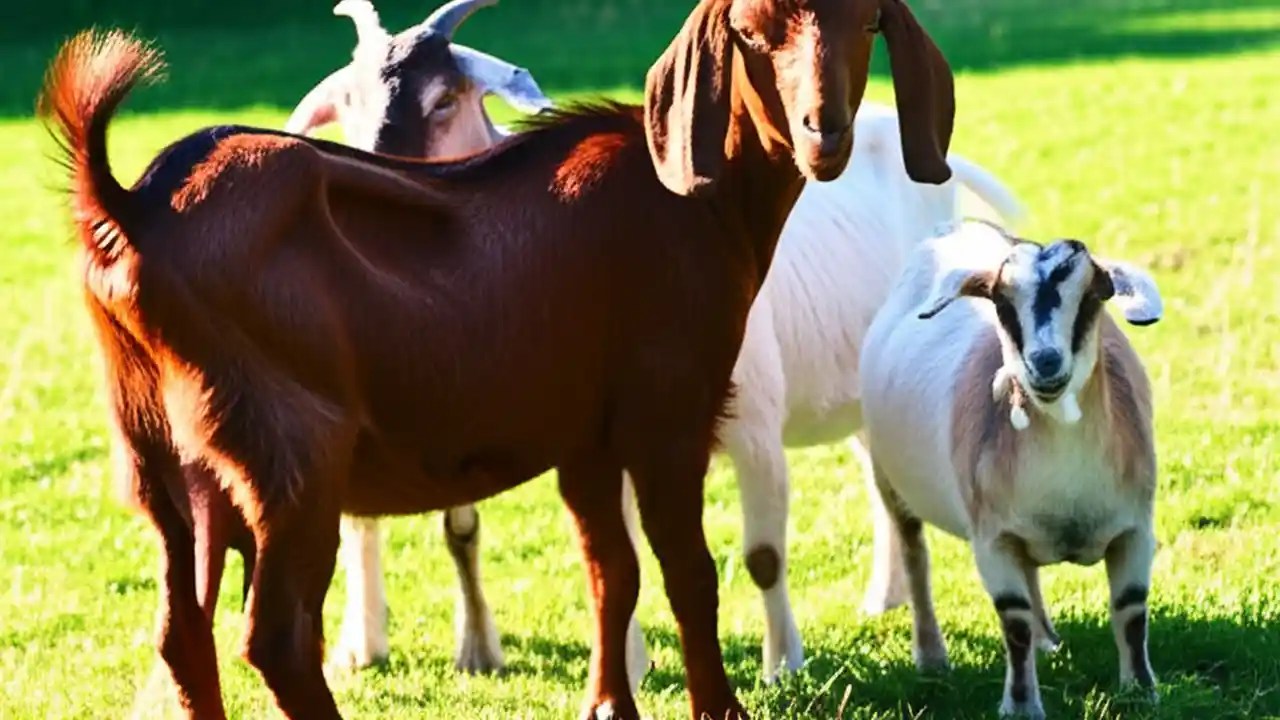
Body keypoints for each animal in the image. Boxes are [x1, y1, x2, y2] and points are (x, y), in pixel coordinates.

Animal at [39, 0, 954, 716]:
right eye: (750, 31)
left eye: (868, 21)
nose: (824, 133)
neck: (695, 202)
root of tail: (128, 207)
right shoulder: (667, 414)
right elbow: (688, 572)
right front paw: (718, 709)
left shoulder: (588, 440)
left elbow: (611, 570)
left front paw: (606, 704)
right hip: (288, 462)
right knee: (275, 639)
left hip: (160, 463)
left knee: (181, 632)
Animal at [858, 220, 1162, 718]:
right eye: (1001, 303)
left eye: (1093, 296)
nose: (1046, 363)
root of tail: (961, 228)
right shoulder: (993, 540)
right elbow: (1013, 620)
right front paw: (1020, 705)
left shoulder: (1135, 528)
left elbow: (1131, 611)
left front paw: (1141, 692)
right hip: (889, 479)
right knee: (915, 558)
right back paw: (932, 658)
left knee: (1032, 571)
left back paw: (1046, 640)